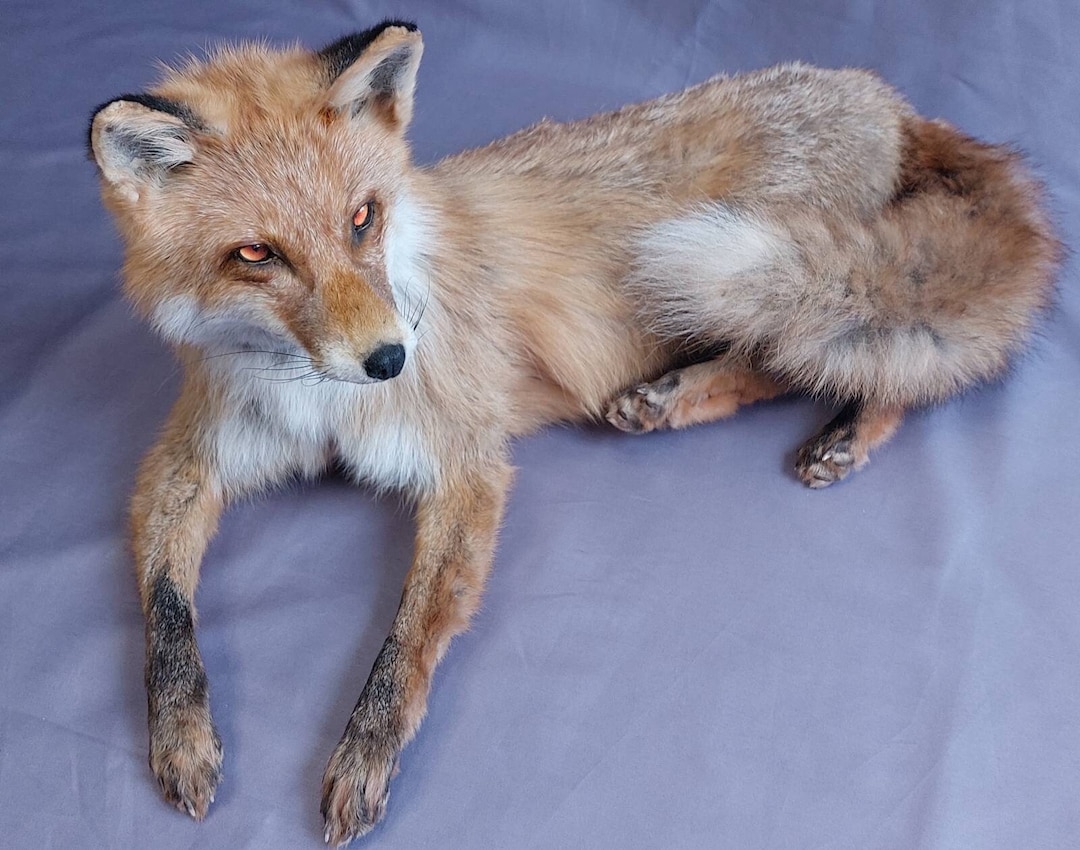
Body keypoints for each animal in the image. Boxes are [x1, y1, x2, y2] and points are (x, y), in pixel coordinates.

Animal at [88, 20, 1060, 846]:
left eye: (362, 217)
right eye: (257, 255)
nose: (391, 359)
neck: (319, 403)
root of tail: (883, 95)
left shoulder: (466, 464)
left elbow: (404, 643)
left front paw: (365, 756)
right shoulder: (187, 460)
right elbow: (166, 613)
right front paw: (181, 737)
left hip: (752, 279)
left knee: (883, 355)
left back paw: (845, 428)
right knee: (805, 360)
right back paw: (670, 400)